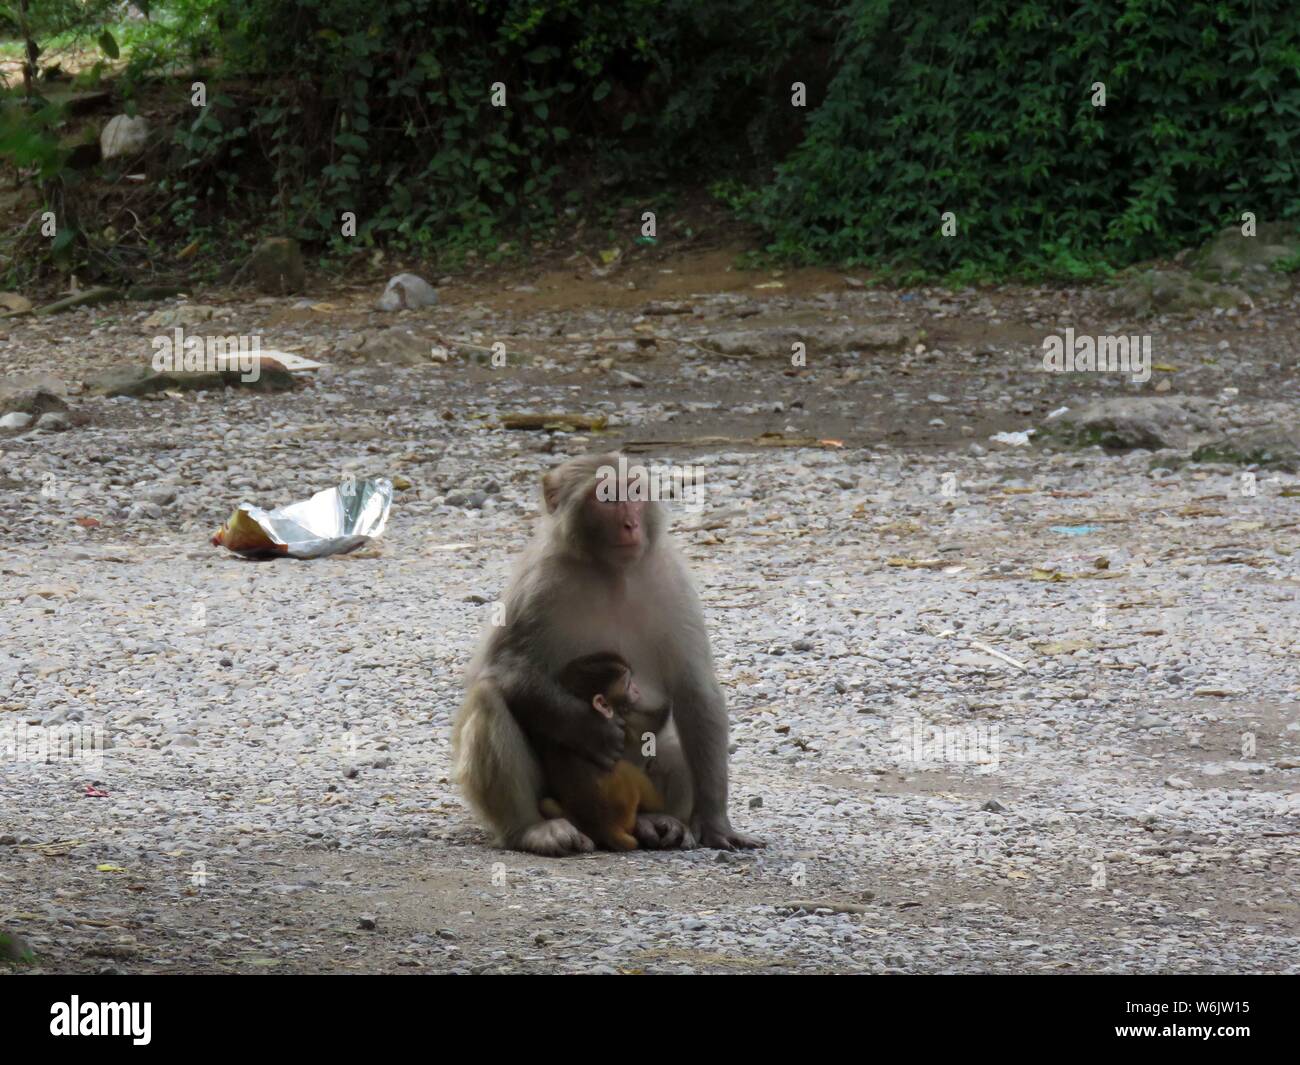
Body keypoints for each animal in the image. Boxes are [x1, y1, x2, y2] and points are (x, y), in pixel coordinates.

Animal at [534, 651, 669, 851]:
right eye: (628, 685)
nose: (637, 690)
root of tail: (607, 829)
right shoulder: (617, 725)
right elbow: (644, 732)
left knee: (546, 803)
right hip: (628, 805)